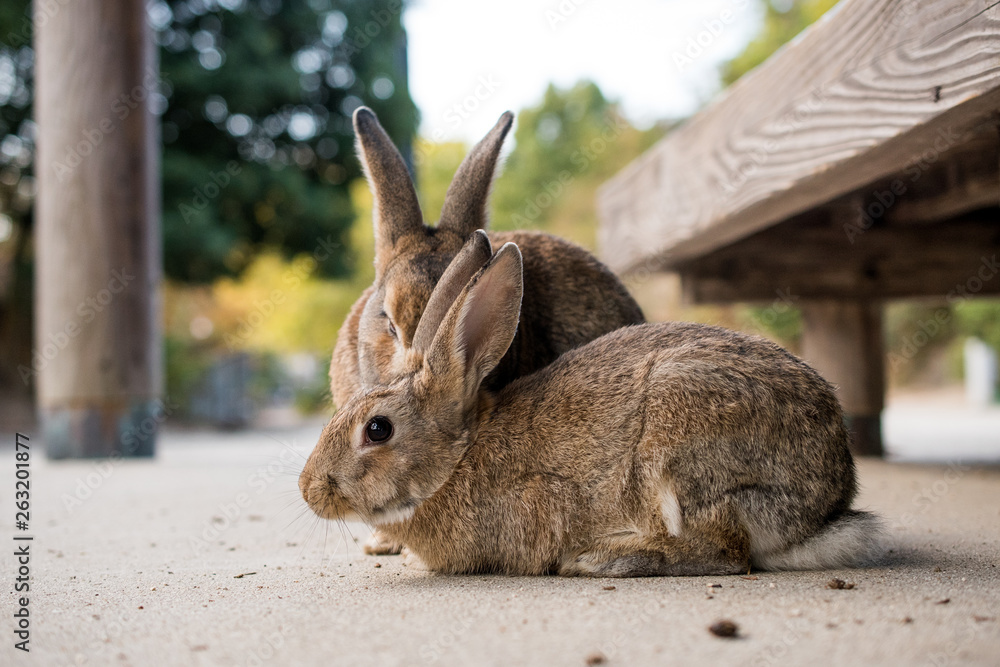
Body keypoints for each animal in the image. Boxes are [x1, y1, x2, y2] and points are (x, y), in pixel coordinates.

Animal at [300, 242, 884, 577]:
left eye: (378, 429)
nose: (309, 491)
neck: (458, 458)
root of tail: (826, 506)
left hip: (676, 449)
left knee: (727, 553)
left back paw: (602, 560)